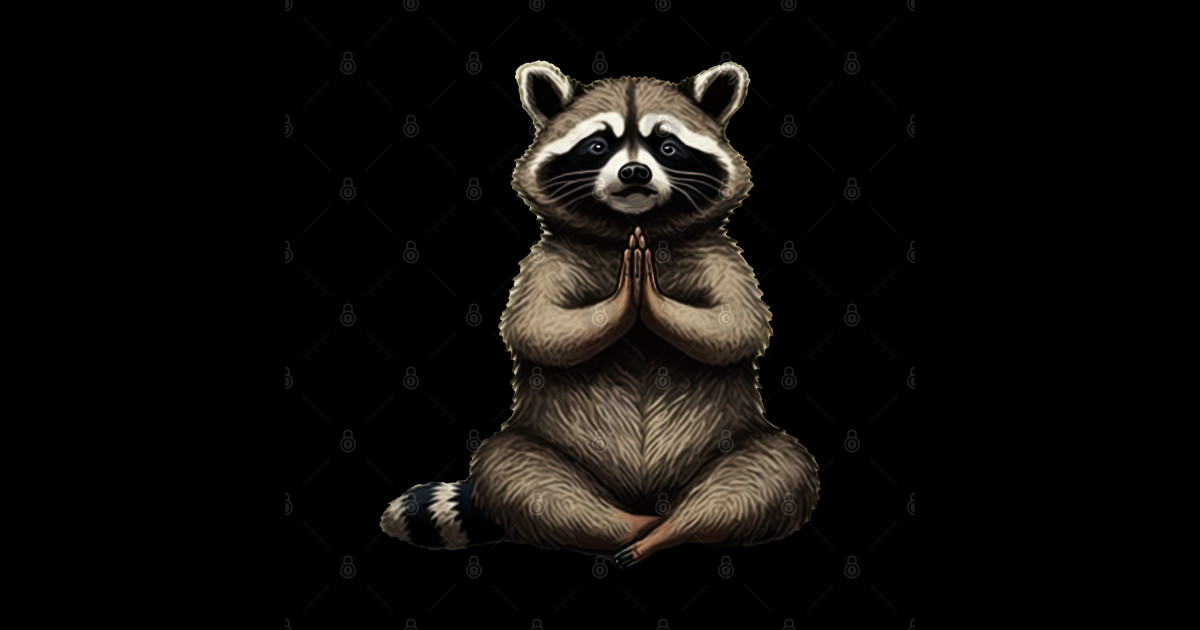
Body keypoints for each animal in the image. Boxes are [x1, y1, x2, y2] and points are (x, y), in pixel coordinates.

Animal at [381, 61, 819, 567]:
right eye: (597, 145)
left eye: (667, 146)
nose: (634, 172)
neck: (632, 225)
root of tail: (646, 498)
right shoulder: (546, 261)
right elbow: (534, 326)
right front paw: (623, 304)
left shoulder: (723, 257)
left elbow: (739, 323)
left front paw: (653, 303)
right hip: (539, 449)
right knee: (516, 475)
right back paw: (625, 526)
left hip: (742, 446)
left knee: (774, 472)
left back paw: (671, 528)